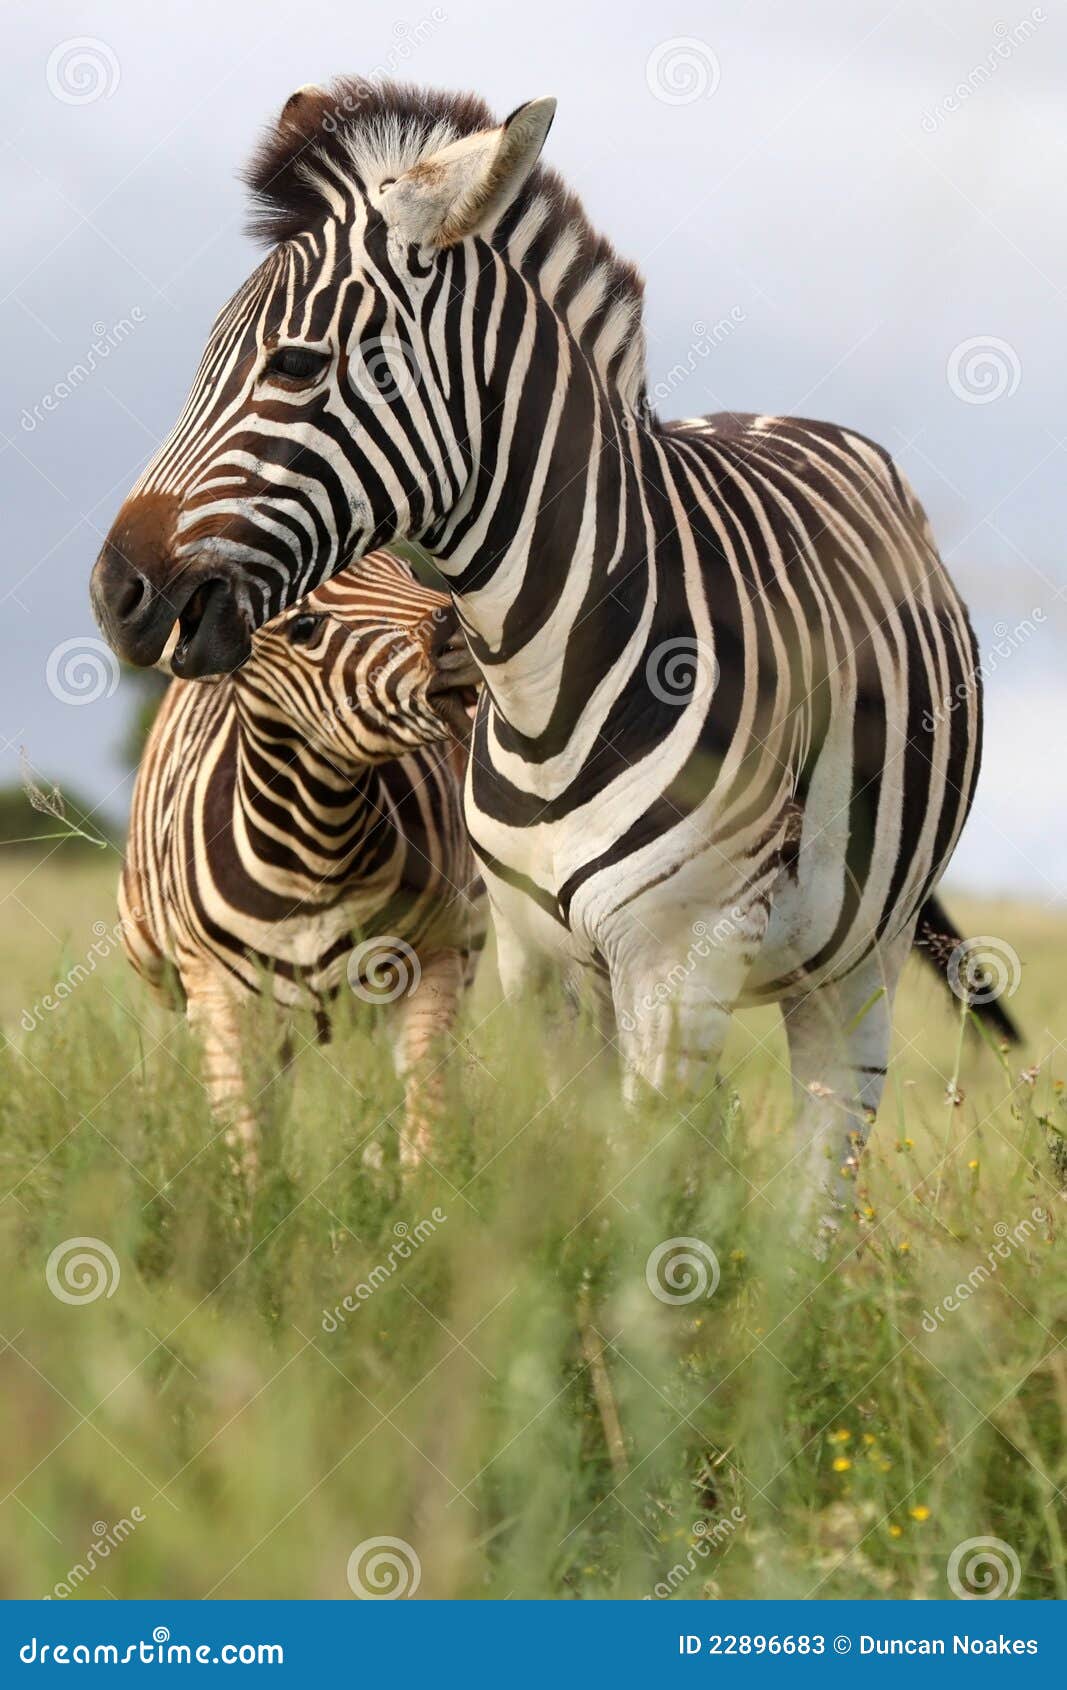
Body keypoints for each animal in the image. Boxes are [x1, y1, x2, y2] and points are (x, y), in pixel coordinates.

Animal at [119, 546, 483, 1171]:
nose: (462, 629)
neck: (319, 847)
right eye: (305, 627)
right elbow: (248, 1146)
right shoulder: (218, 998)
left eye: (410, 574)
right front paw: (260, 1198)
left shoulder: (434, 958)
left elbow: (427, 1120)